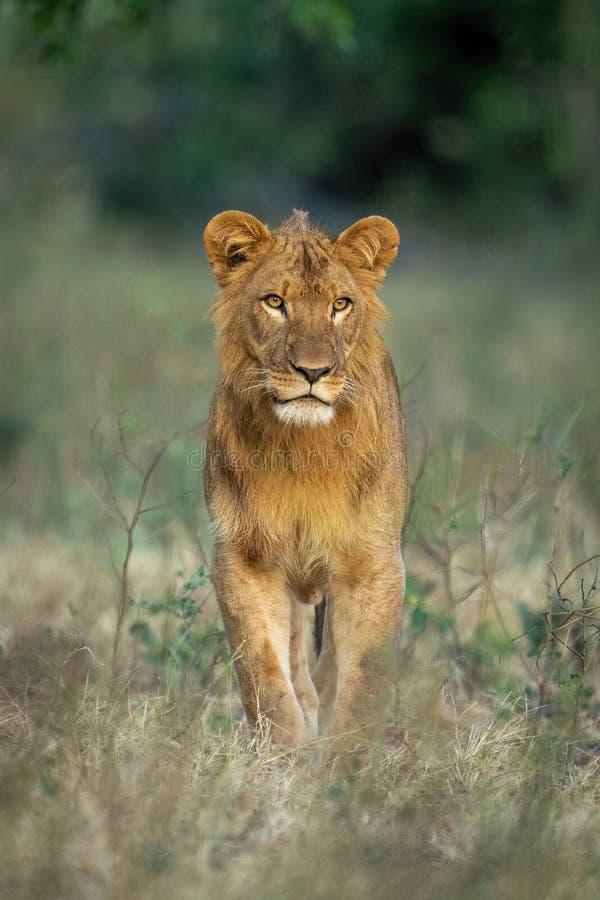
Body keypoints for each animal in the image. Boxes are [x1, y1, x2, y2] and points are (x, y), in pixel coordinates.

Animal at [203, 209, 407, 749]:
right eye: (276, 302)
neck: (303, 451)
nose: (313, 372)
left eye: (340, 304)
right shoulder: (244, 558)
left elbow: (364, 680)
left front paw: (346, 761)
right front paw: (284, 754)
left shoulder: (373, 562)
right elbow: (263, 674)